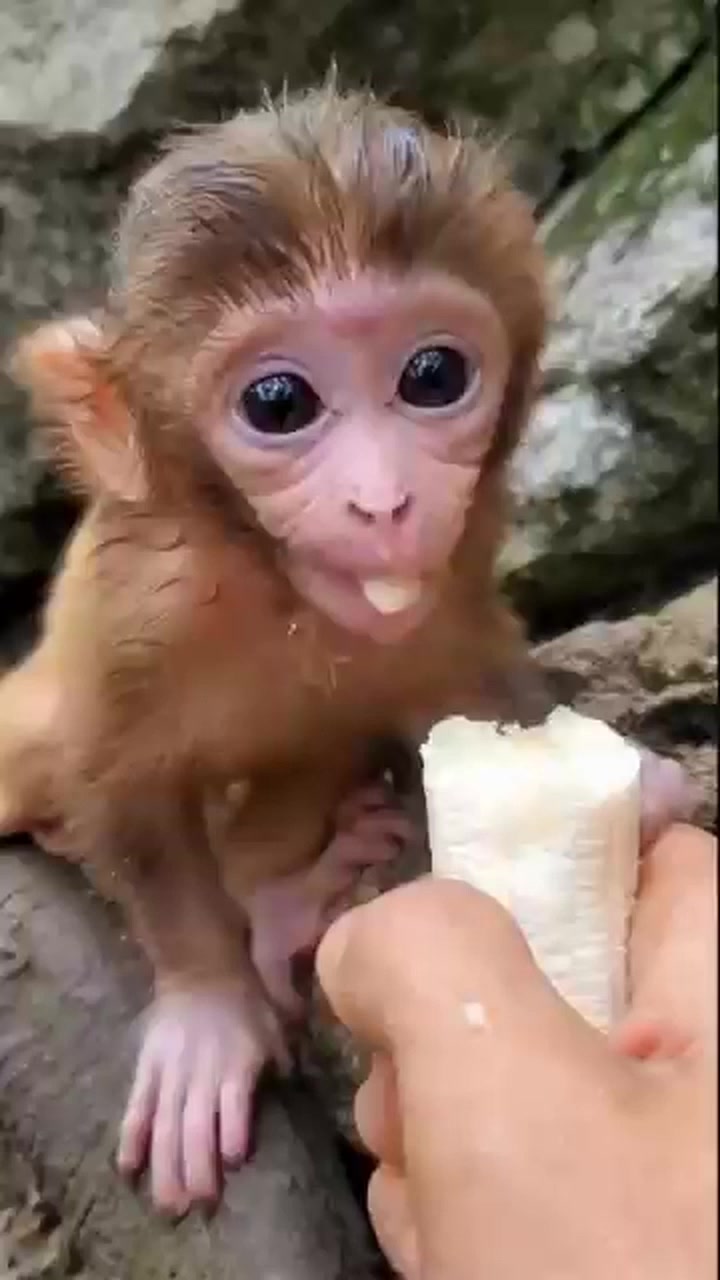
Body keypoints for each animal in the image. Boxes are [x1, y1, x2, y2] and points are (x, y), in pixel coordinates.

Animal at [0, 82, 691, 1217]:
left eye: (433, 375)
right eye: (278, 403)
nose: (385, 502)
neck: (280, 592)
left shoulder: (449, 579)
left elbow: (469, 685)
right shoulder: (142, 608)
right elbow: (117, 781)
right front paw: (208, 1010)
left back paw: (280, 903)